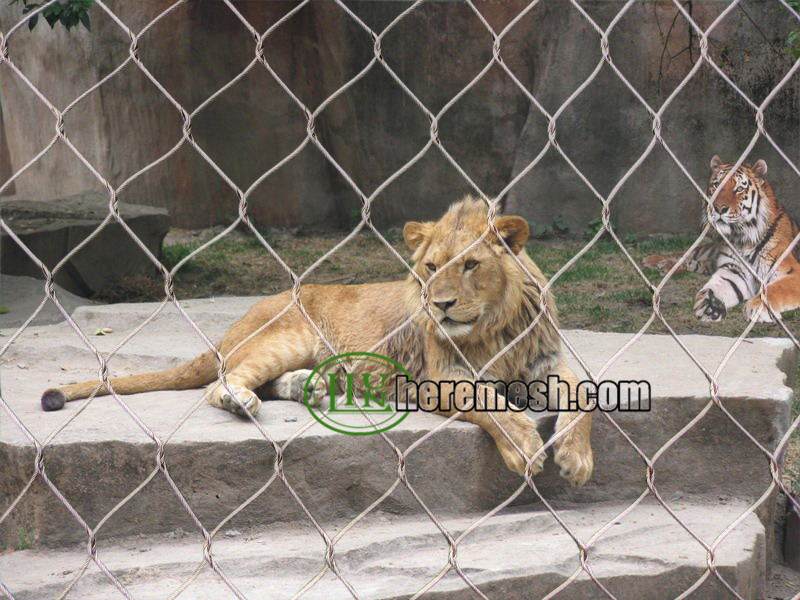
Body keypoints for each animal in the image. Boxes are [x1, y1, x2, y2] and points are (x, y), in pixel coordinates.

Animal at [40, 197, 593, 485]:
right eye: (432, 266)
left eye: (472, 265)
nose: (441, 305)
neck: (494, 327)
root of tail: (234, 324)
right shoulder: (441, 377)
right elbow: (490, 404)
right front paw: (526, 449)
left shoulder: (547, 363)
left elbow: (585, 397)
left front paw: (576, 458)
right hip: (285, 339)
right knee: (222, 383)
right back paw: (247, 401)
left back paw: (314, 388)